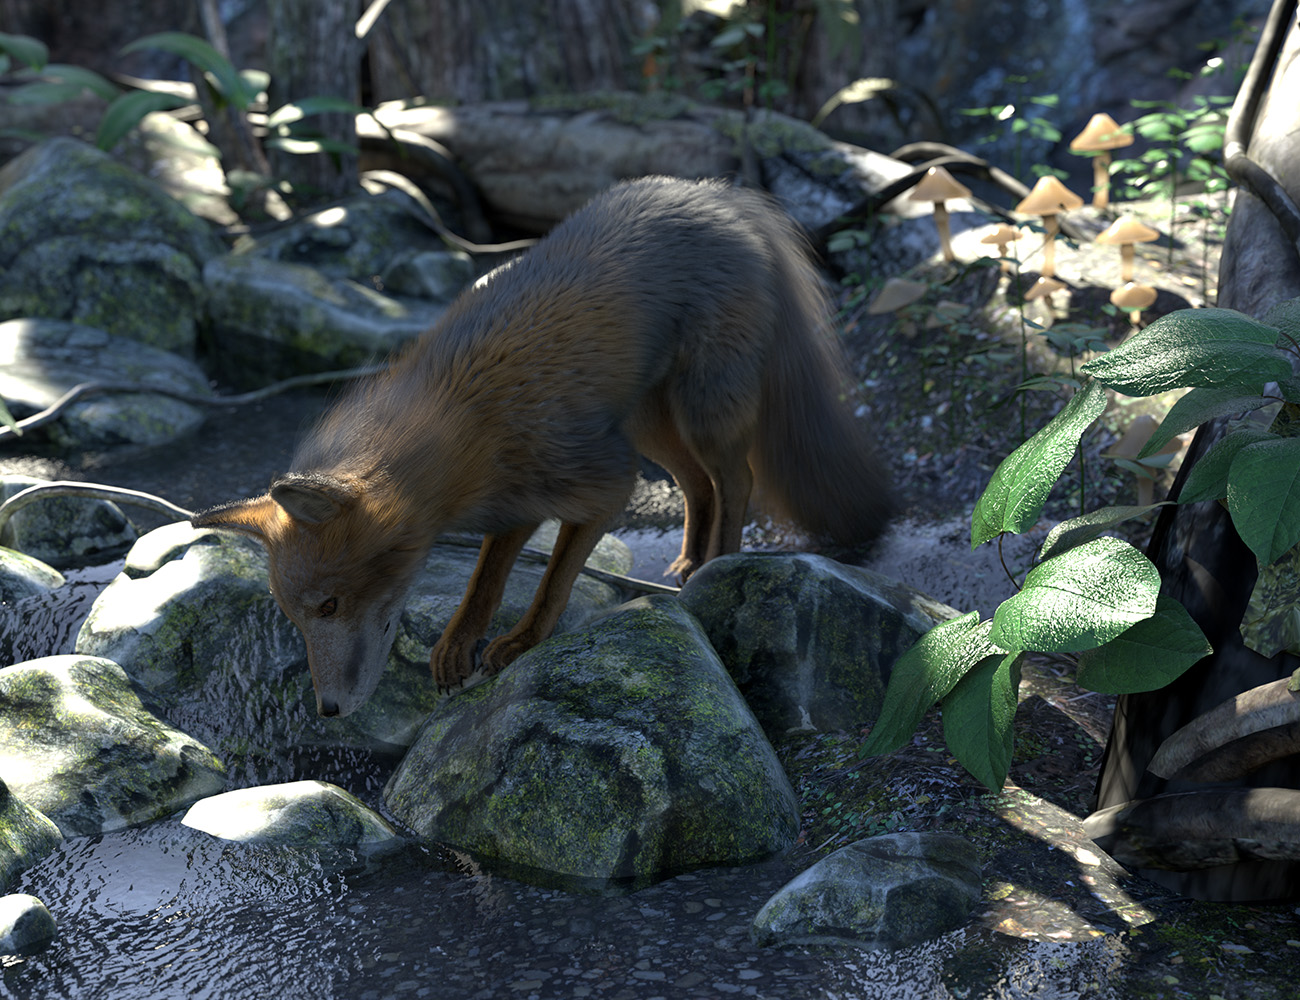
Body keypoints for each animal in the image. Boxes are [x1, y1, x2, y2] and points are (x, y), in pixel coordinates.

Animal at [193, 176, 892, 717]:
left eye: (331, 604)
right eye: (296, 619)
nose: (328, 711)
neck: (469, 418)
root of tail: (713, 193)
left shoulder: (602, 482)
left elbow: (554, 579)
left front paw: (525, 640)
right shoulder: (518, 499)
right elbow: (484, 580)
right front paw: (458, 644)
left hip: (701, 411)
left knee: (736, 481)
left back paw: (717, 563)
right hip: (650, 426)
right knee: (699, 485)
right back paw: (691, 560)